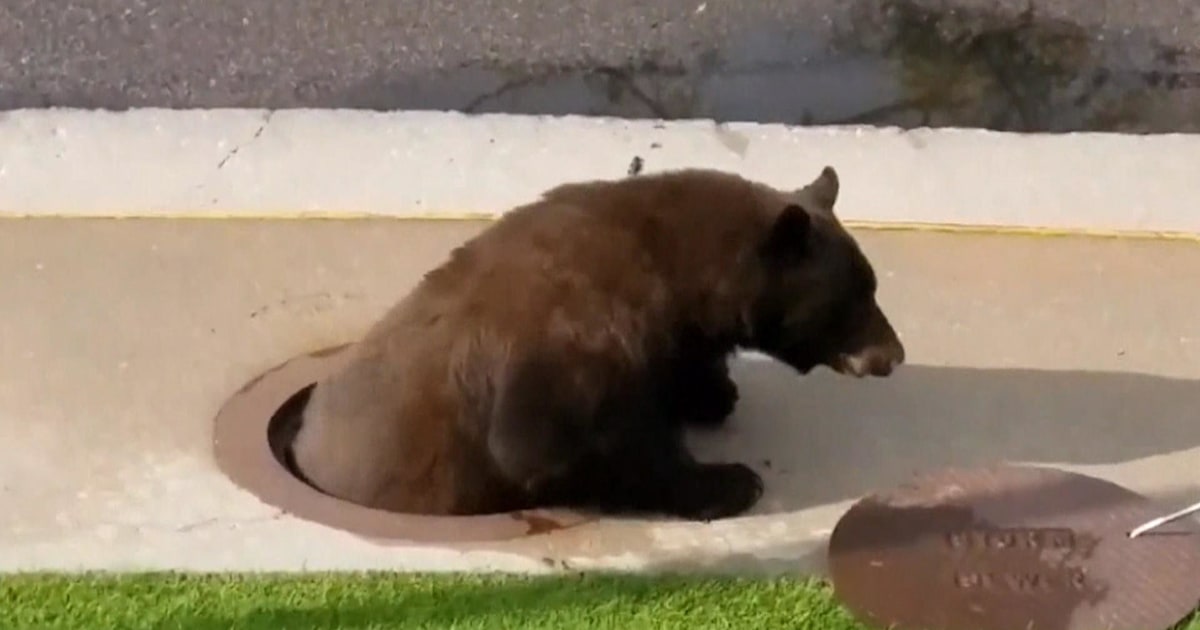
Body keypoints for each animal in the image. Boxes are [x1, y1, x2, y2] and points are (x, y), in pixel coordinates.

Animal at [288, 166, 905, 521]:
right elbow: (559, 443)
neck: (677, 271)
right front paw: (729, 481)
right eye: (856, 296)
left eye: (870, 284)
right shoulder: (580, 340)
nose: (893, 356)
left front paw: (712, 392)